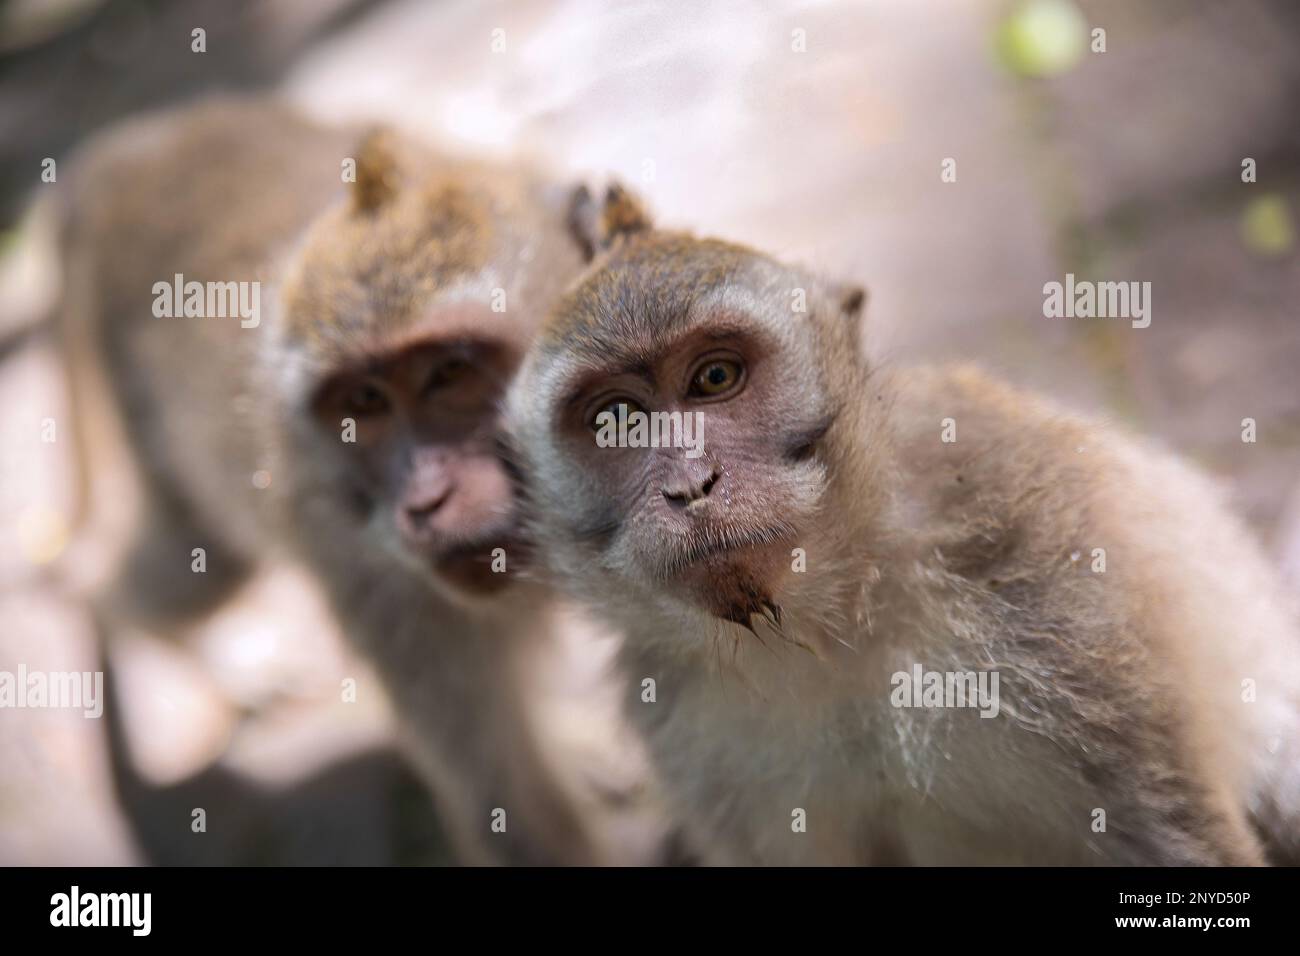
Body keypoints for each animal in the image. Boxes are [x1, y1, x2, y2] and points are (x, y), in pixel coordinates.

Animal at [53, 97, 665, 865]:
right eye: (364, 403)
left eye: (450, 372)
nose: (426, 500)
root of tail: (133, 155)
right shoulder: (387, 584)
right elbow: (518, 820)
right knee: (171, 577)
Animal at [504, 186, 1300, 865]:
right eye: (616, 419)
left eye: (715, 378)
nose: (691, 487)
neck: (832, 617)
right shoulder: (684, 725)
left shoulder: (1053, 575)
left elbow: (1173, 839)